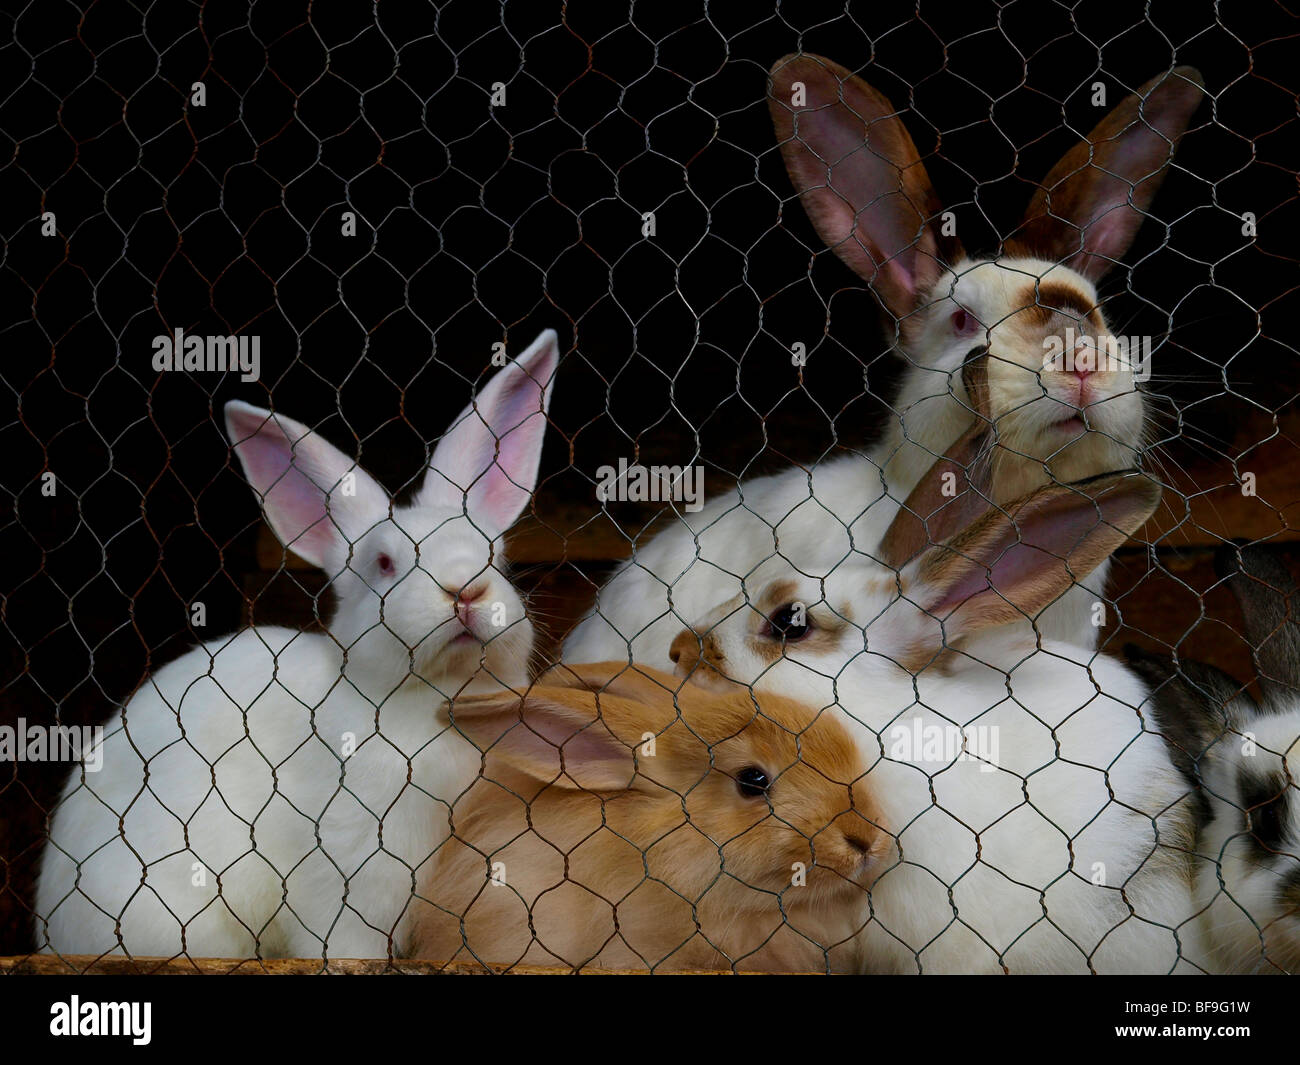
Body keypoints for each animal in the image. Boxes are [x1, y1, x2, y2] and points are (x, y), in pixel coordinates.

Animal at [35, 329, 560, 960]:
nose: (465, 589)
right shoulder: (349, 865)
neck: (439, 699)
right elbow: (343, 941)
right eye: (384, 564)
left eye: (495, 557)